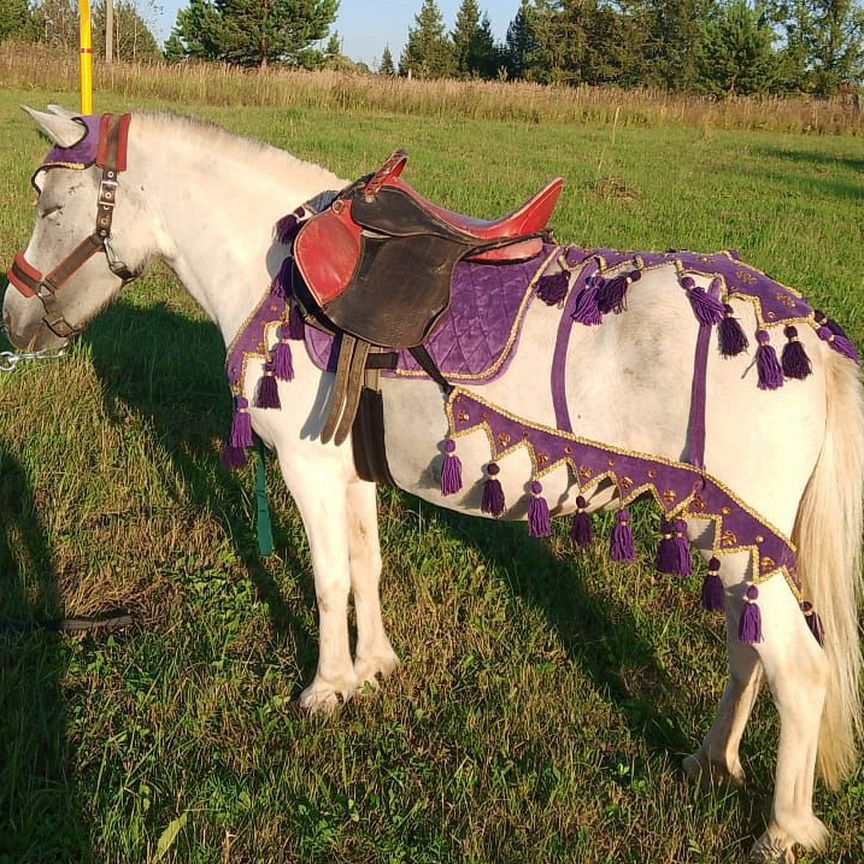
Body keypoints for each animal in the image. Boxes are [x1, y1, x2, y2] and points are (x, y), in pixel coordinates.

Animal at [3, 109, 860, 864]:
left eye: (50, 206)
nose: (14, 324)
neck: (274, 268)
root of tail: (806, 334)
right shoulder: (349, 468)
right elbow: (366, 566)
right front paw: (375, 667)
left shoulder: (306, 468)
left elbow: (327, 580)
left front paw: (327, 689)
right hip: (734, 540)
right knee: (747, 650)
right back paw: (709, 763)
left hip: (745, 543)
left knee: (799, 671)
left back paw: (783, 832)